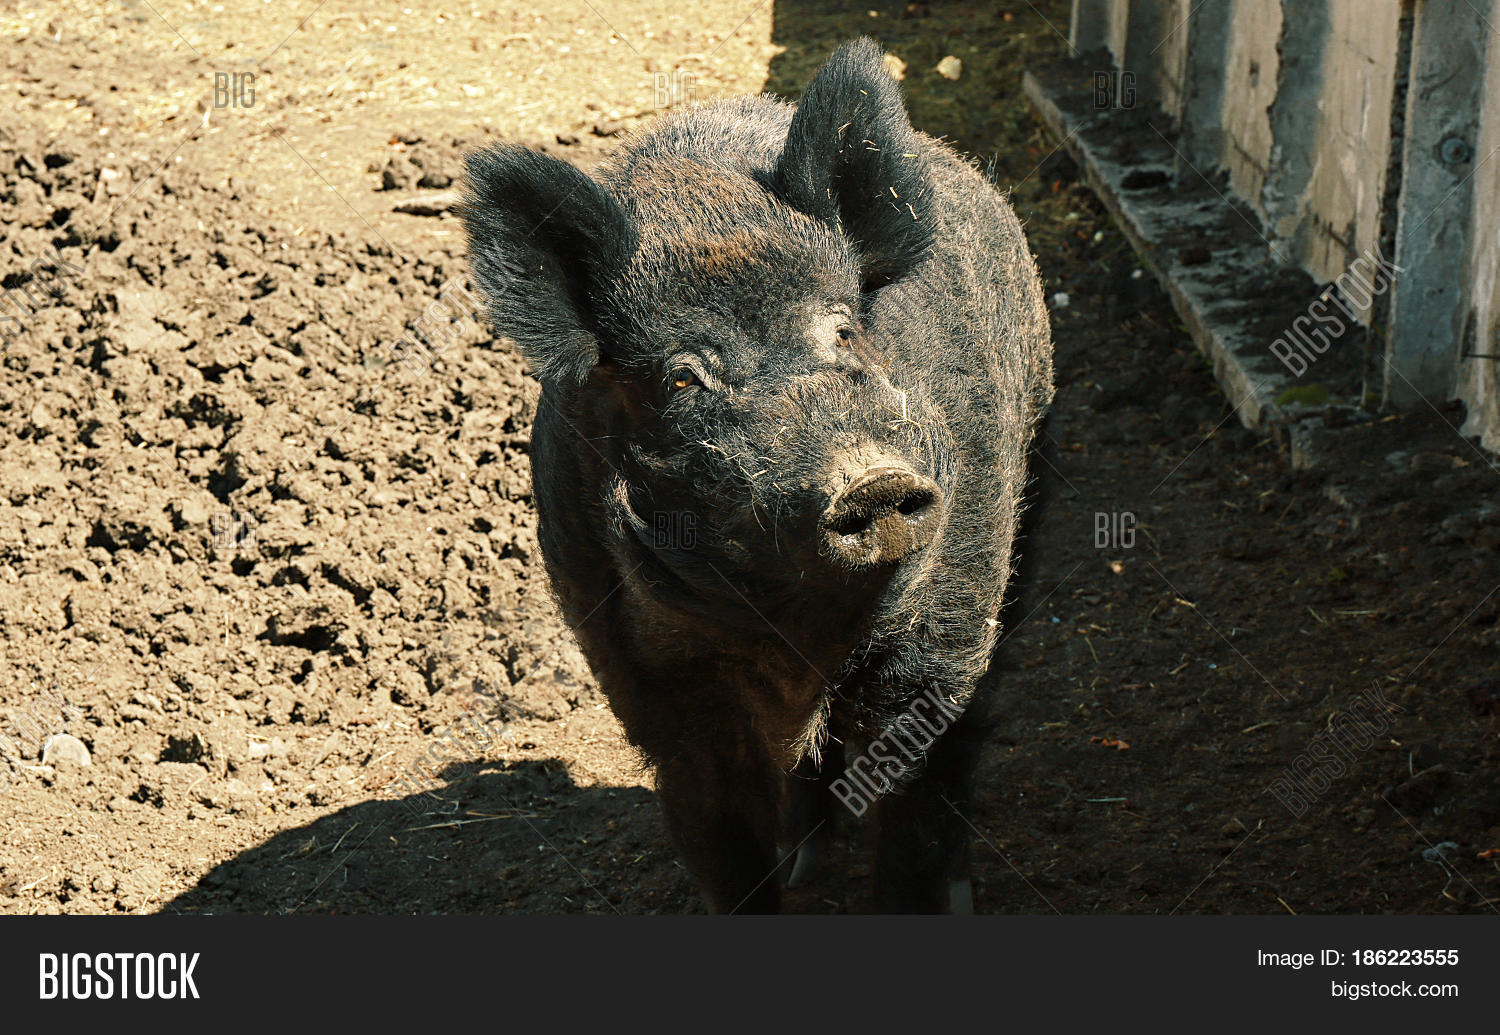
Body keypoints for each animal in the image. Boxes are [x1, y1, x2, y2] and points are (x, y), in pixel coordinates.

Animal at [460, 37, 1053, 913]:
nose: (873, 479)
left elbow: (913, 801)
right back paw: (803, 858)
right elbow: (719, 841)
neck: (794, 623)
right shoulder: (644, 676)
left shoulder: (944, 620)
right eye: (681, 377)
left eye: (843, 331)